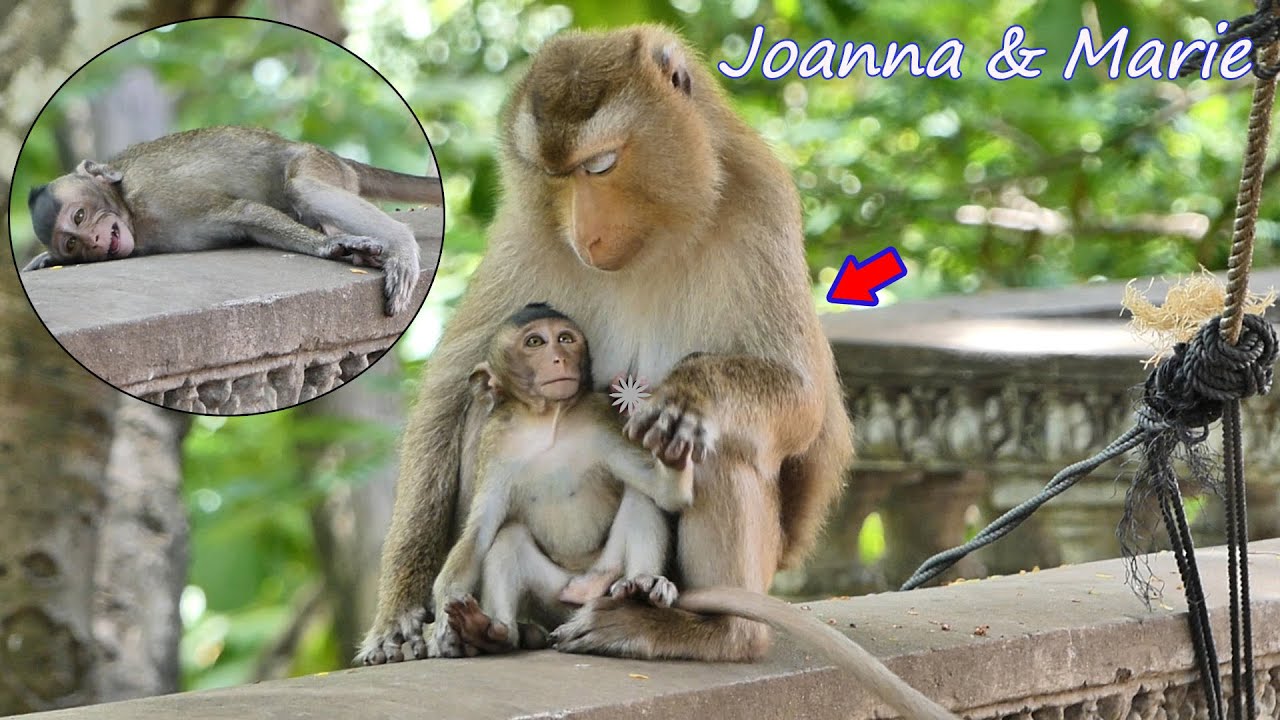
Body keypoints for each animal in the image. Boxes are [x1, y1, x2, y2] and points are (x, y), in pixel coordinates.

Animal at [21, 126, 441, 315]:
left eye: (80, 216)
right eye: (71, 243)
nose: (92, 241)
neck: (127, 209)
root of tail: (336, 158)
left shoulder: (160, 199)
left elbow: (243, 213)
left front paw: (332, 246)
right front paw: (46, 260)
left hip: (317, 163)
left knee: (303, 184)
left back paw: (399, 243)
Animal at [402, 302, 697, 658]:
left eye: (566, 338)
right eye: (535, 343)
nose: (560, 358)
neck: (549, 420)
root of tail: (583, 588)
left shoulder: (601, 418)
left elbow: (663, 492)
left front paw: (673, 449)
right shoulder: (496, 442)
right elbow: (480, 531)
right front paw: (445, 612)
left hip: (606, 571)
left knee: (641, 497)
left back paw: (642, 586)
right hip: (553, 597)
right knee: (509, 540)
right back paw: (490, 633)